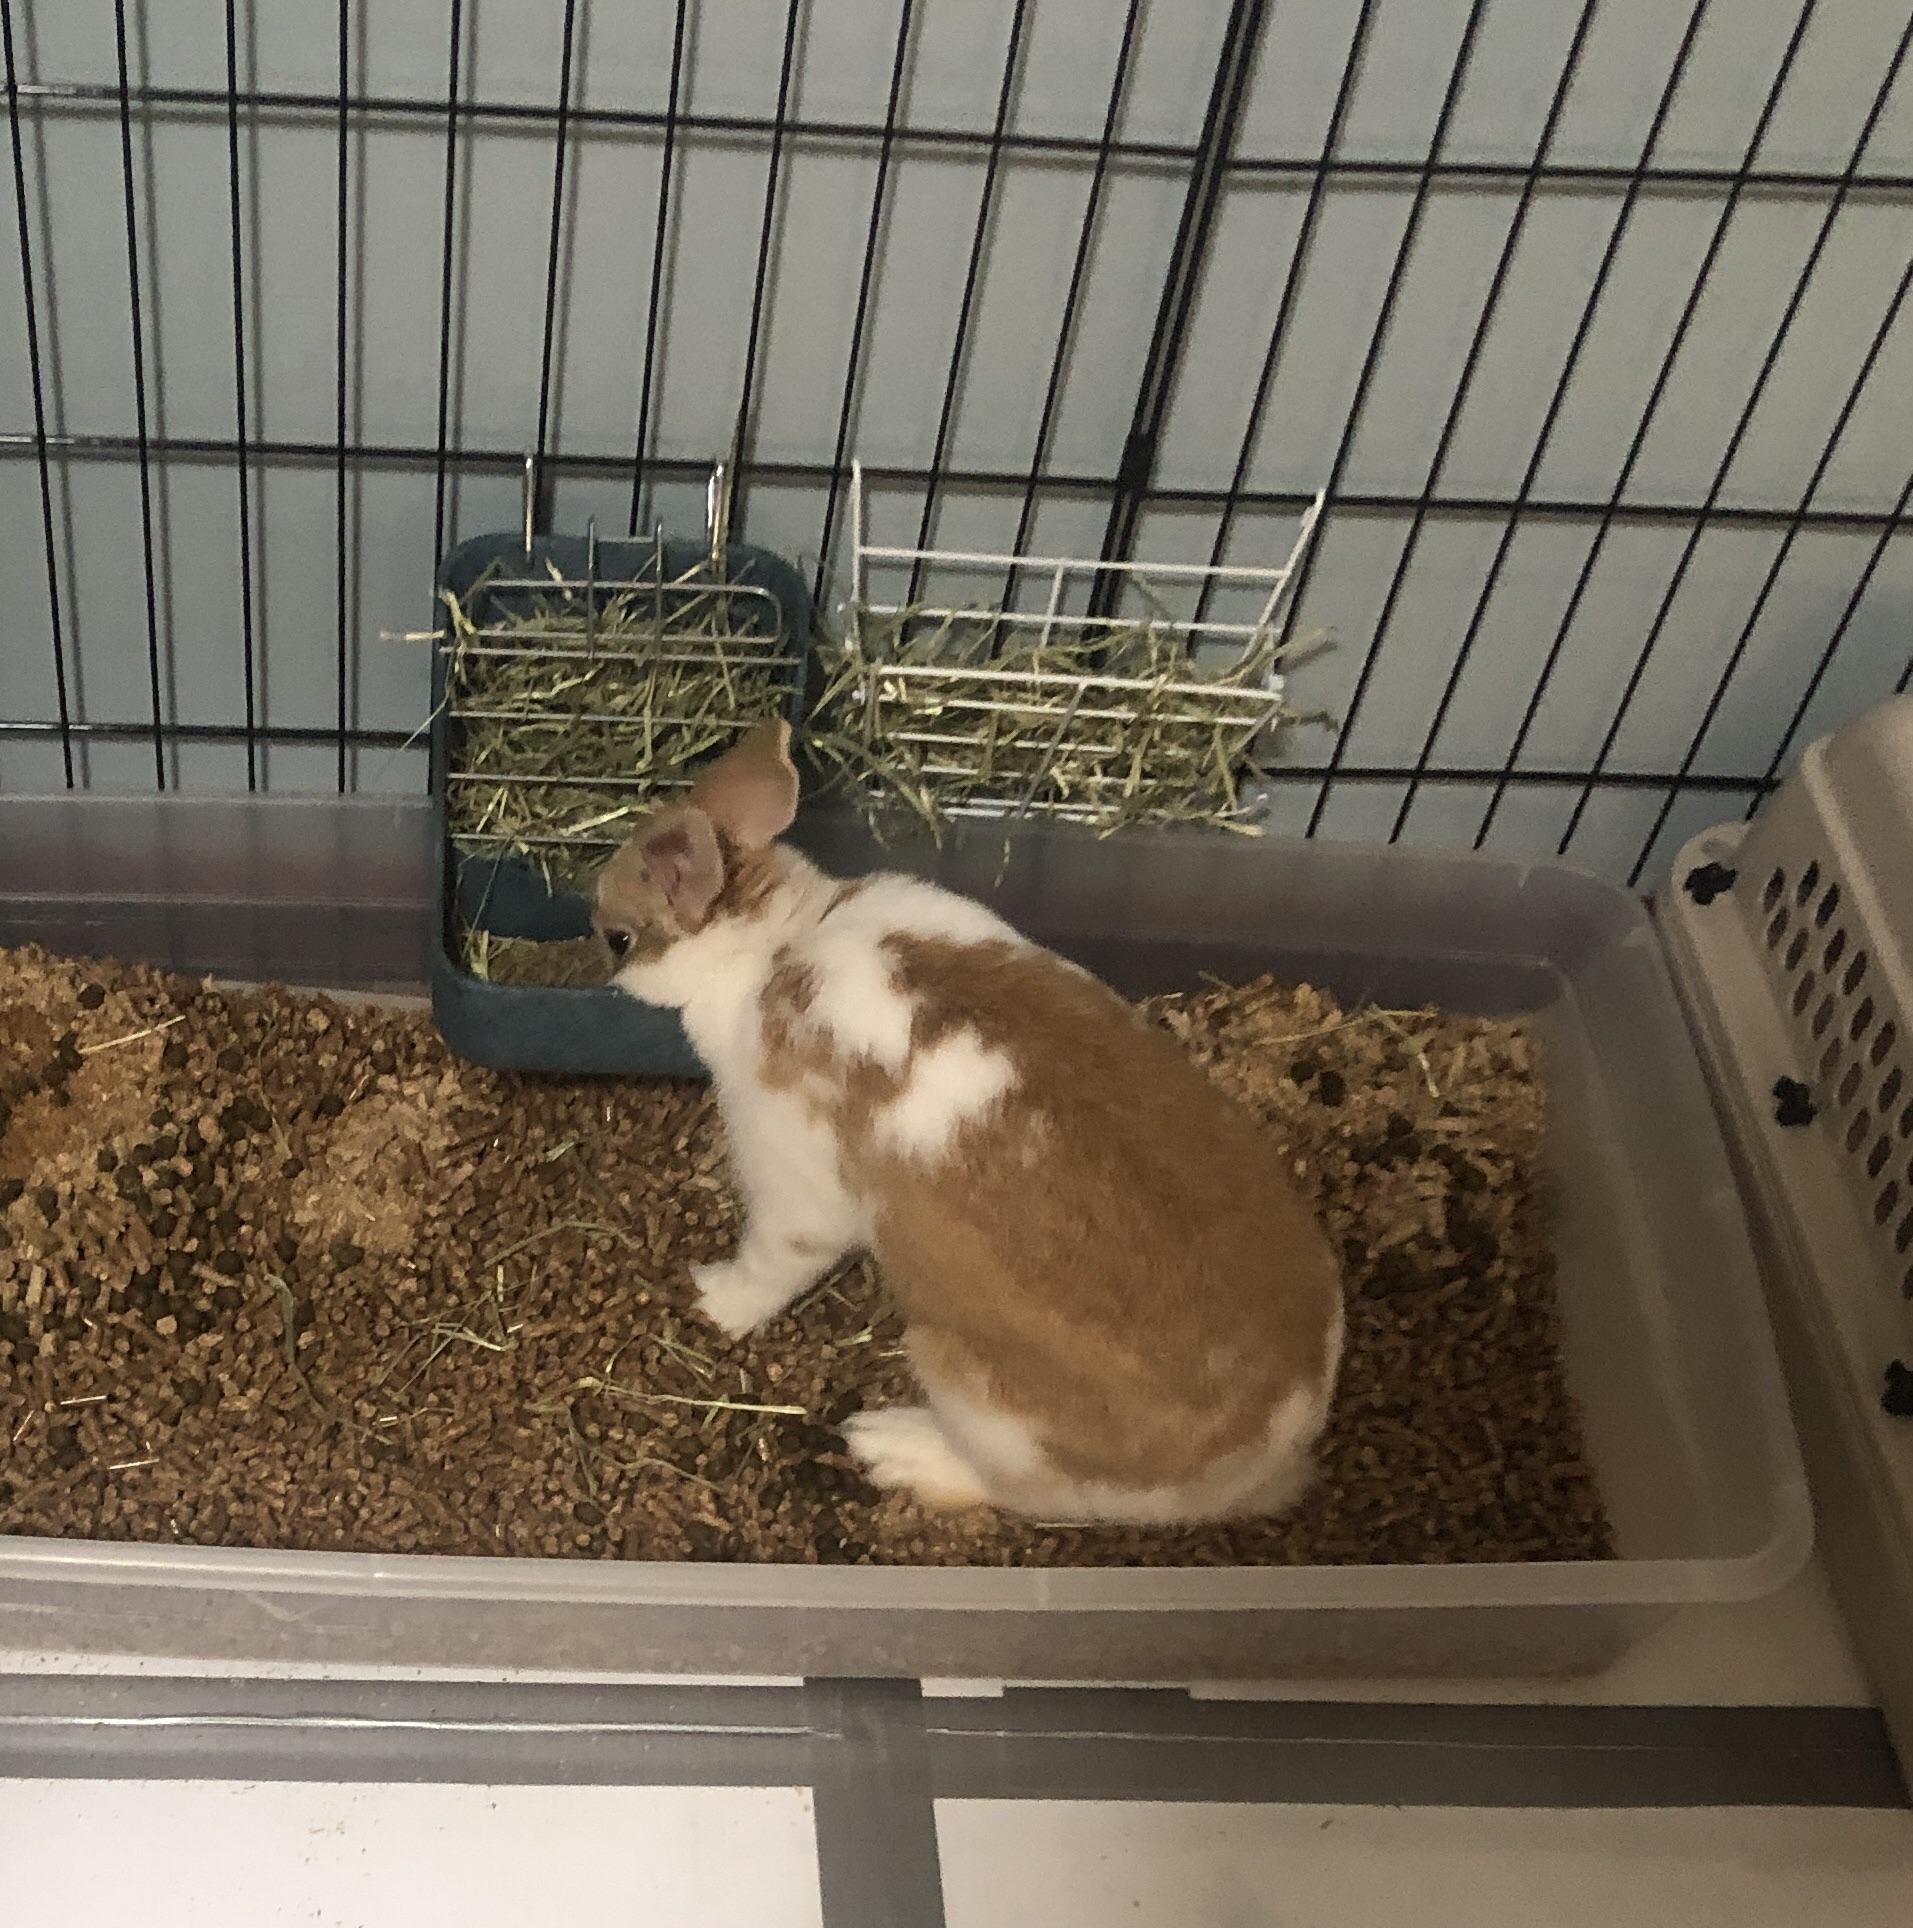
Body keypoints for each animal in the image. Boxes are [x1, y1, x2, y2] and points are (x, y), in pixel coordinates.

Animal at [592, 719, 1343, 1524]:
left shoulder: (792, 1181)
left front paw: (712, 1297)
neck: (776, 946)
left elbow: (773, 1261)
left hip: (970, 1392)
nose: (596, 953)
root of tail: (1270, 1459)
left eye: (616, 938)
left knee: (1011, 1489)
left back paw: (888, 1445)